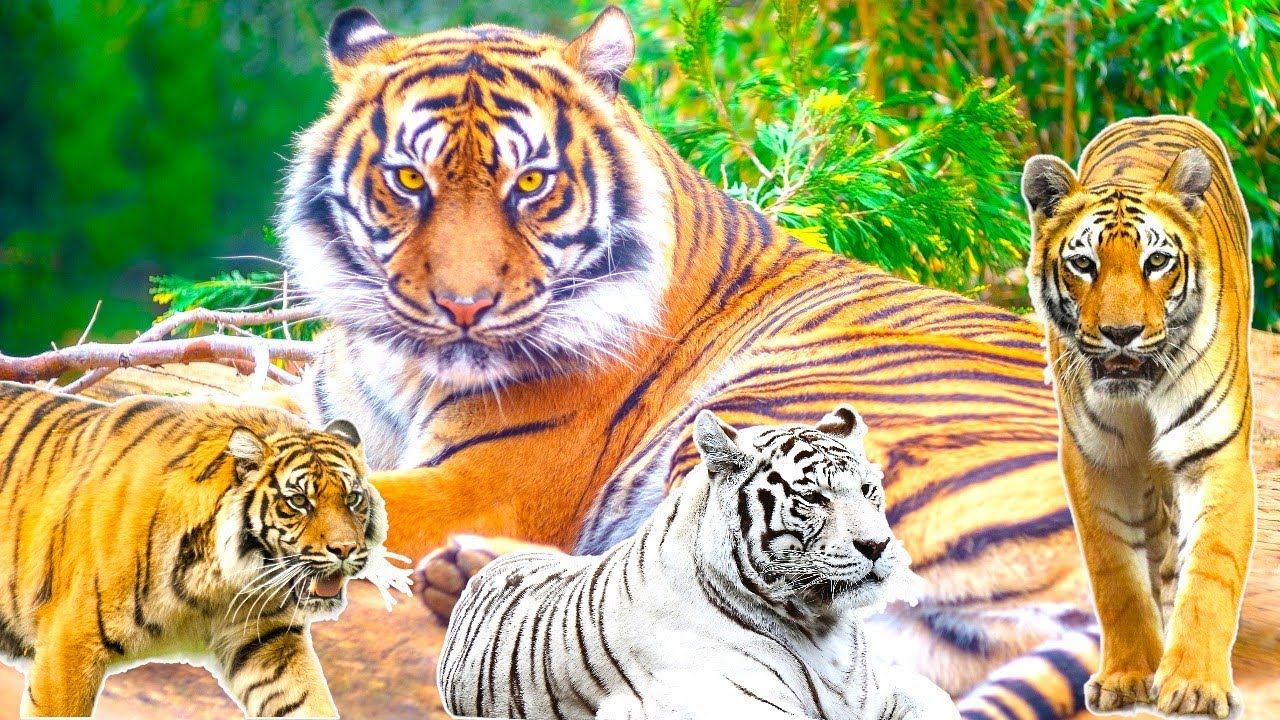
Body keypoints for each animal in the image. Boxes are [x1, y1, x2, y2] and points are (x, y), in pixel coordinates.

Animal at [0, 381, 408, 718]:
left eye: (352, 499)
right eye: (298, 501)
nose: (346, 549)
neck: (220, 583)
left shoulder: (264, 640)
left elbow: (306, 702)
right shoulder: (69, 646)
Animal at [1022, 115, 1256, 719]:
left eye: (1157, 262)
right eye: (1084, 264)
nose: (1122, 333)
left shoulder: (1214, 455)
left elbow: (1210, 570)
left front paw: (1195, 685)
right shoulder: (1098, 461)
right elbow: (1117, 576)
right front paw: (1128, 676)